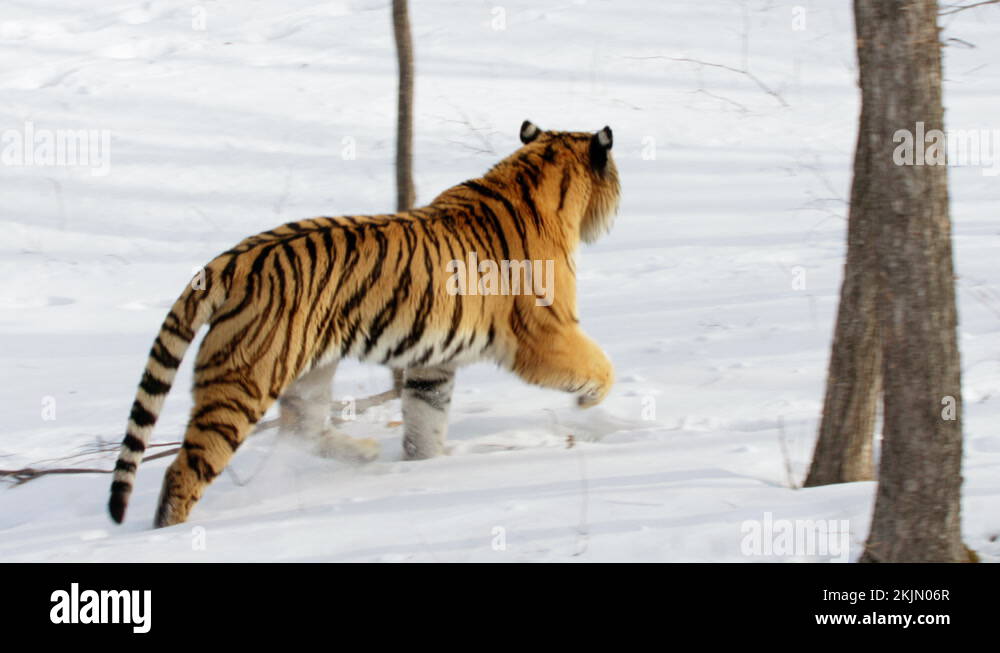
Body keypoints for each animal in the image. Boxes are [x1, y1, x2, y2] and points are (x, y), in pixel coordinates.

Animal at [108, 120, 621, 528]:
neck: (536, 175)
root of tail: (231, 260)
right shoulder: (545, 332)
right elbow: (598, 364)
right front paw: (590, 401)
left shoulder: (433, 363)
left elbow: (424, 419)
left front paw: (424, 465)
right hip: (242, 381)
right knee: (185, 469)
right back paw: (168, 534)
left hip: (308, 370)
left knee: (303, 429)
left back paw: (366, 452)